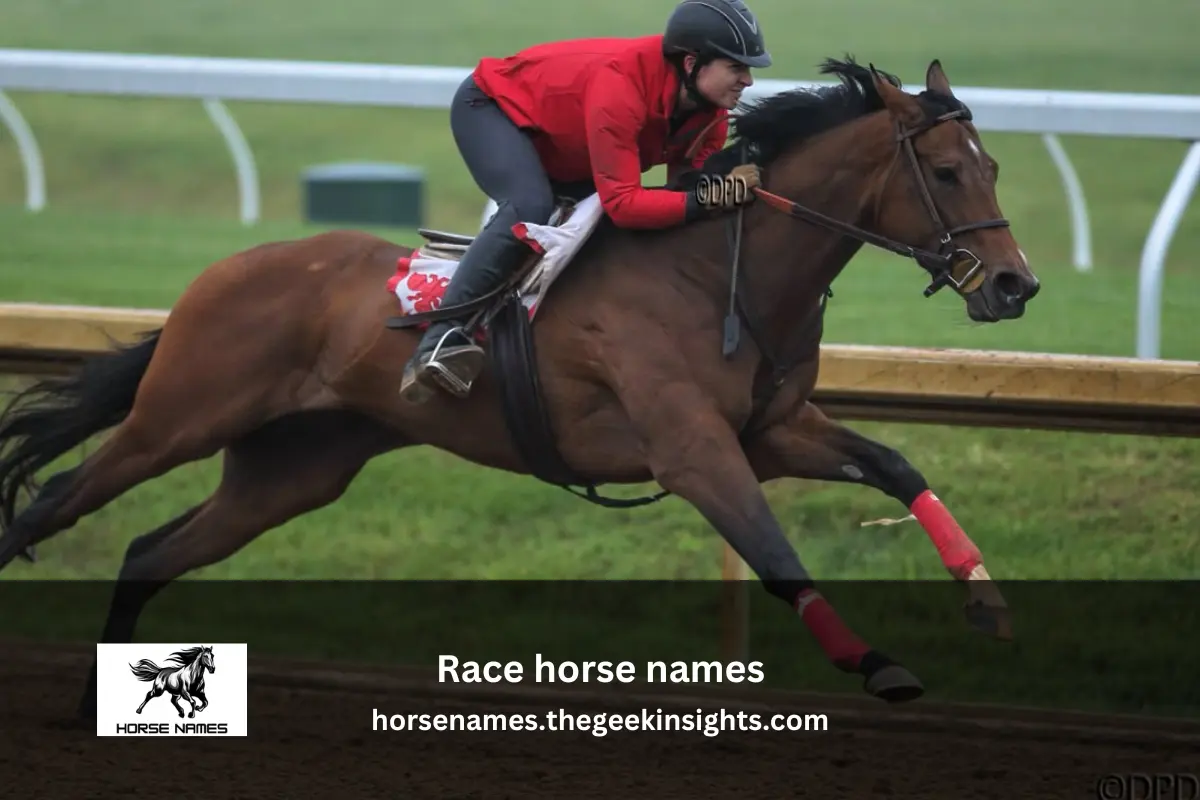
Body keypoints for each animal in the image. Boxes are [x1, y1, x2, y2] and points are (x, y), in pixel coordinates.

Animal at [0, 56, 1040, 719]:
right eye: (946, 170)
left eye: (994, 164)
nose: (1014, 286)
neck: (714, 273)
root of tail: (218, 274)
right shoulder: (692, 448)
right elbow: (776, 555)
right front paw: (878, 663)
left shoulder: (769, 431)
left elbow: (895, 464)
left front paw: (986, 601)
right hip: (177, 417)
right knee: (55, 502)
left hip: (294, 469)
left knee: (147, 552)